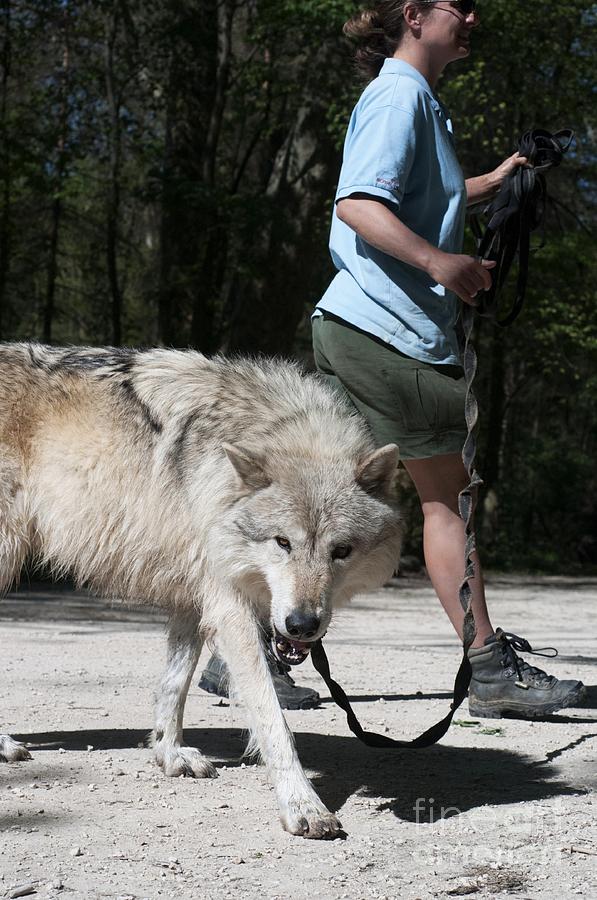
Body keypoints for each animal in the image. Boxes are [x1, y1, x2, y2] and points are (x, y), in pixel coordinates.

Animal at [0, 342, 402, 838]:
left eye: (340, 551)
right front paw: (302, 803)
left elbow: (175, 685)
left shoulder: (194, 599)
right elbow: (273, 719)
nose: (301, 625)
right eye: (282, 543)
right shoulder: (230, 609)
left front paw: (169, 755)